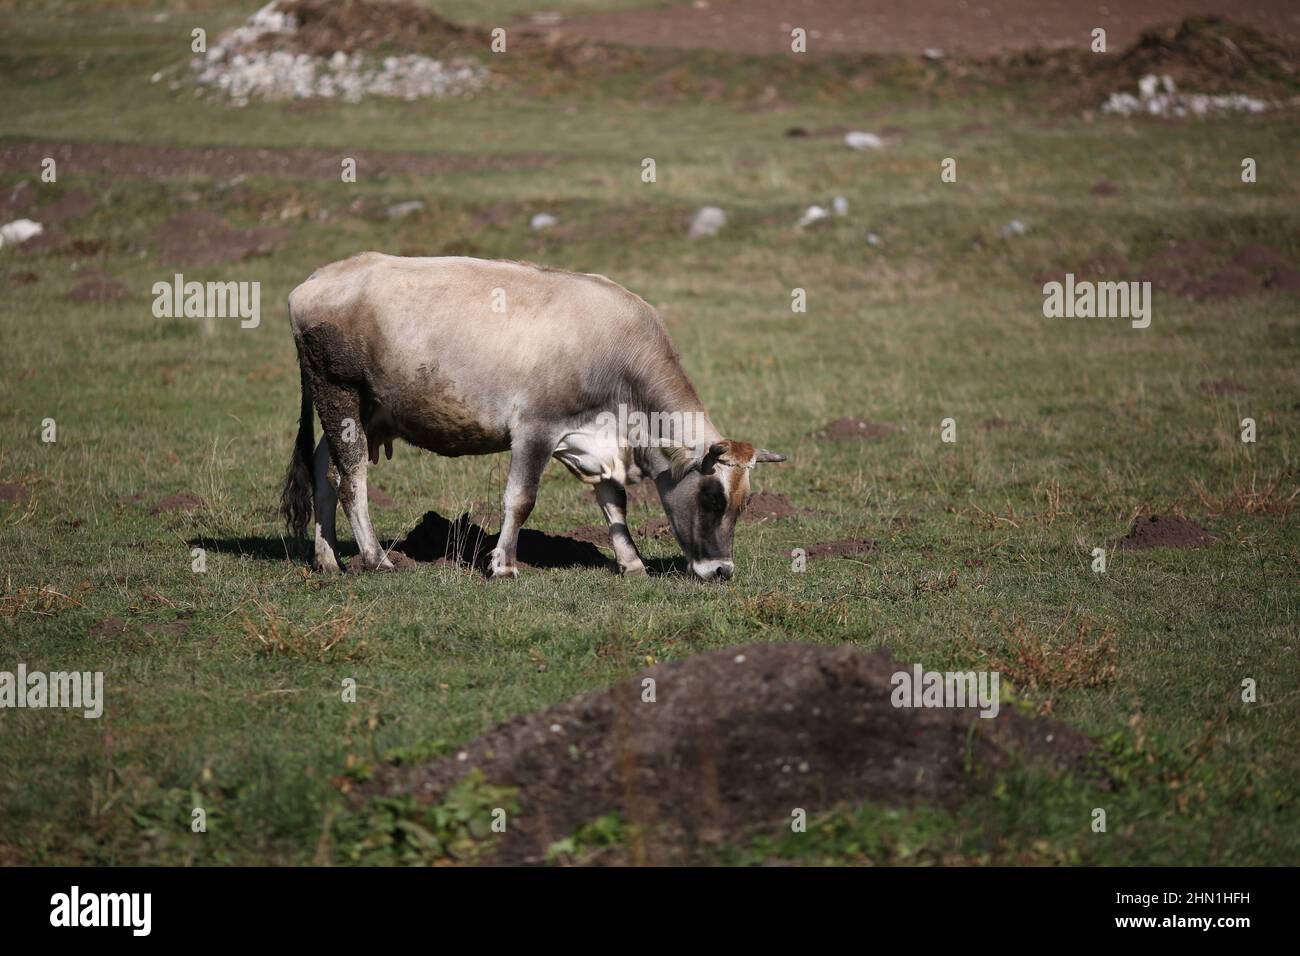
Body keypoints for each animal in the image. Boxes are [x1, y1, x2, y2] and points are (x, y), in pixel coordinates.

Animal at [279, 253, 786, 581]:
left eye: (745, 504)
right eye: (711, 498)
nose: (722, 570)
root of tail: (316, 280)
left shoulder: (596, 441)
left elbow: (614, 502)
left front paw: (632, 562)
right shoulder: (535, 431)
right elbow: (520, 499)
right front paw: (503, 564)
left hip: (359, 409)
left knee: (325, 470)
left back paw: (328, 559)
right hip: (339, 391)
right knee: (351, 476)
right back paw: (375, 558)